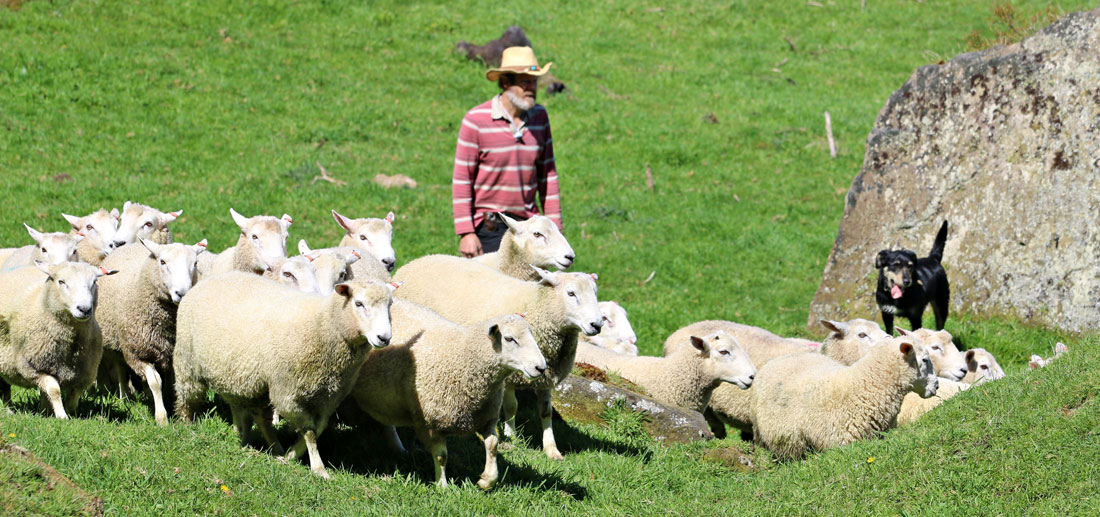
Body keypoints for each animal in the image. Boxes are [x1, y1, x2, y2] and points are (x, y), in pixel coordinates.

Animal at [0, 261, 117, 418]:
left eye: (94, 282)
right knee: (5, 390)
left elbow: (74, 395)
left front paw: (71, 413)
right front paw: (62, 416)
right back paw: (10, 411)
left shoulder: (84, 374)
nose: (84, 309)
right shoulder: (34, 368)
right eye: (61, 281)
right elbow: (54, 390)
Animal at [96, 239, 206, 425]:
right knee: (120, 367)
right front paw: (161, 417)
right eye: (162, 262)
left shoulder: (173, 353)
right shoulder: (138, 354)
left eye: (195, 263)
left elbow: (173, 382)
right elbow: (155, 382)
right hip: (117, 340)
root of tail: (132, 244)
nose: (181, 293)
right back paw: (125, 397)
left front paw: (176, 408)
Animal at [174, 271, 396, 479]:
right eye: (359, 303)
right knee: (187, 396)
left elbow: (319, 428)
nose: (384, 338)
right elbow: (310, 431)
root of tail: (211, 278)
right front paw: (318, 468)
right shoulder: (287, 393)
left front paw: (292, 454)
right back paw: (187, 426)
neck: (322, 324)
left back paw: (260, 444)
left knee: (252, 414)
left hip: (244, 379)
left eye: (390, 305)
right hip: (188, 362)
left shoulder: (329, 397)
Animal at [352, 301, 546, 489]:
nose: (541, 367)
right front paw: (442, 485)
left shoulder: (487, 417)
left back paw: (397, 448)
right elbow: (441, 456)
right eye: (509, 338)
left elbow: (493, 444)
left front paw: (487, 481)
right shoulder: (431, 422)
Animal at [392, 255, 602, 460]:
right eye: (571, 293)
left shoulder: (546, 376)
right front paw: (512, 436)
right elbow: (511, 407)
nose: (597, 325)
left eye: (595, 293)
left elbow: (546, 411)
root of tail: (418, 260)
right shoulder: (507, 374)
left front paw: (552, 449)